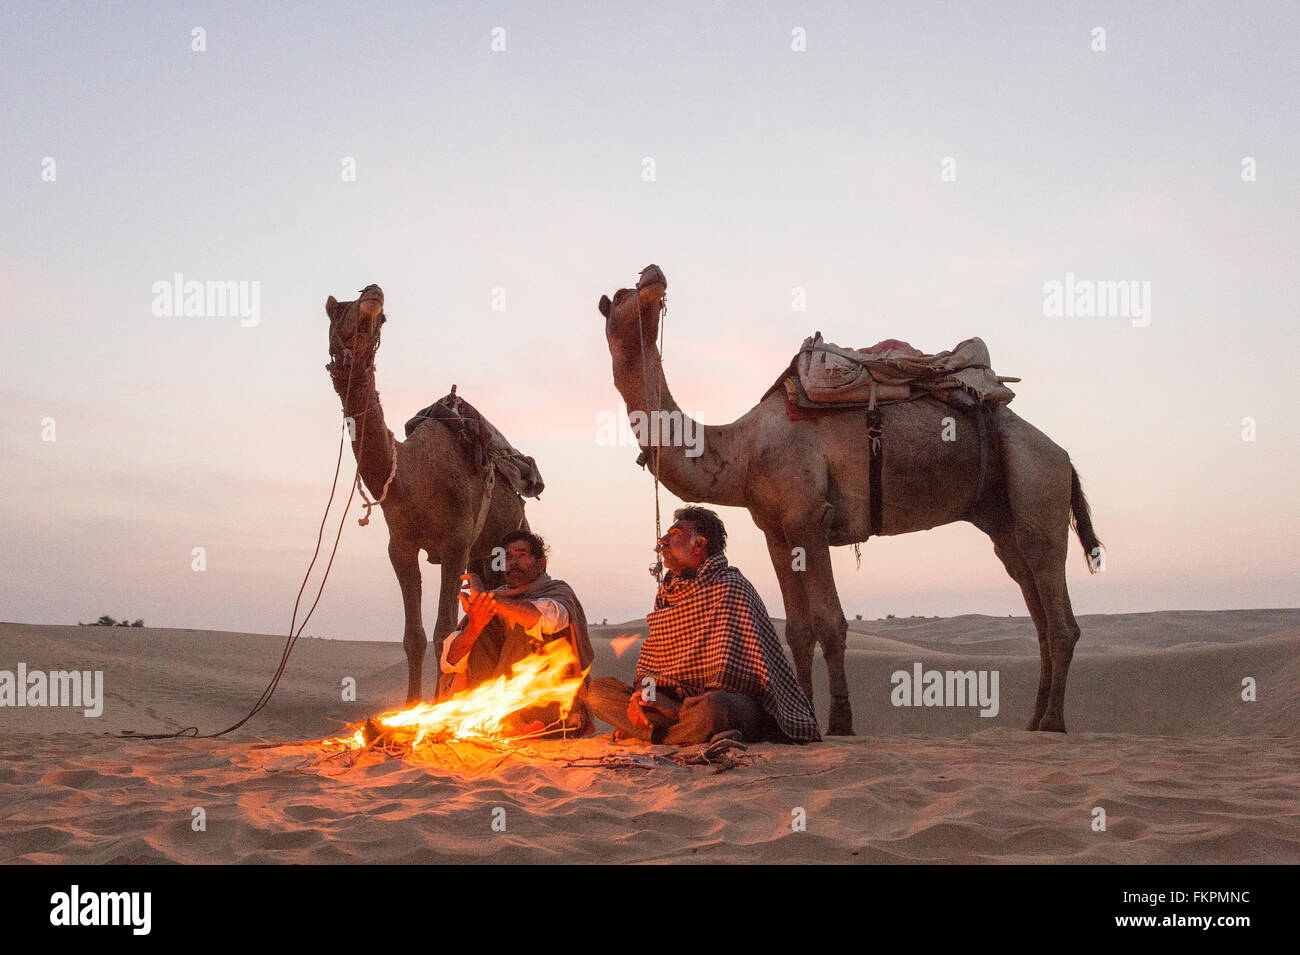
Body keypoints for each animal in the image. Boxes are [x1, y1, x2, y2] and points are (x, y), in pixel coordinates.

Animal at [325, 284, 528, 704]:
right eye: (335, 311)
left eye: (382, 317)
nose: (373, 293)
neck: (412, 475)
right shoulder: (401, 547)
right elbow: (413, 637)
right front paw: (411, 705)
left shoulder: (455, 545)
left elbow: (442, 632)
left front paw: (438, 705)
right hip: (484, 559)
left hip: (504, 539)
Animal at [599, 265, 1103, 734]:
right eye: (623, 295)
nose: (654, 274)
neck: (743, 450)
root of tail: (1064, 456)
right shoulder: (776, 532)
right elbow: (797, 630)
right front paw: (803, 714)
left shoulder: (809, 519)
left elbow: (830, 623)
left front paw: (840, 722)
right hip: (1001, 515)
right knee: (1031, 594)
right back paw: (1034, 721)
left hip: (1038, 480)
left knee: (1054, 599)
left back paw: (1054, 720)